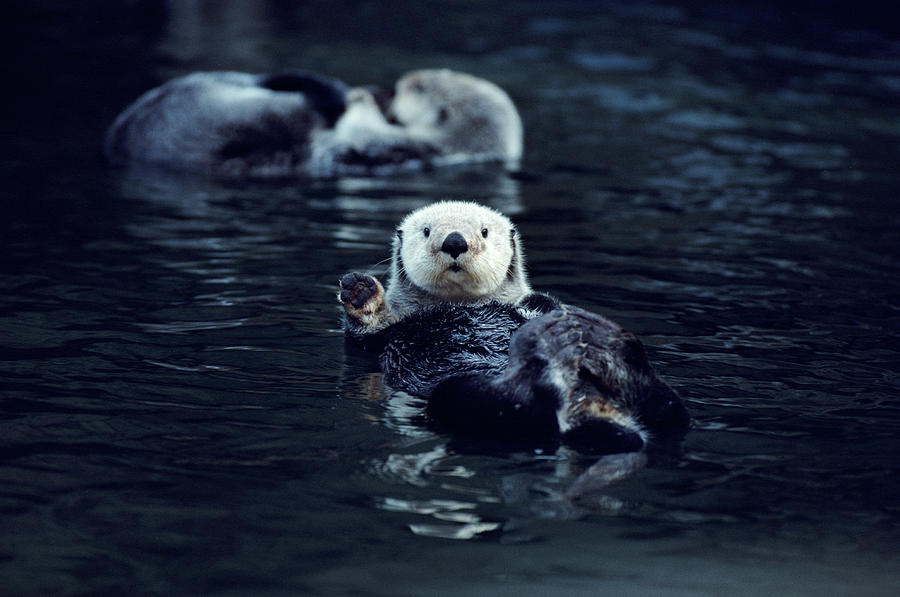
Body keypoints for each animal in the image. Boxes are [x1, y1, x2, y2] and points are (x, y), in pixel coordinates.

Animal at [104, 69, 522, 178]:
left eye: (419, 88)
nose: (398, 84)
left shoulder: (389, 145)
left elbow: (364, 130)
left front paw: (363, 97)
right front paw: (368, 92)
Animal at [338, 202, 689, 454]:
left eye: (484, 232)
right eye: (426, 231)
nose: (455, 241)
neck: (463, 304)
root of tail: (585, 410)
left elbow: (539, 302)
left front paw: (555, 311)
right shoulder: (383, 338)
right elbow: (363, 339)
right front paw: (361, 292)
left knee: (668, 408)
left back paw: (611, 346)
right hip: (462, 400)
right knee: (517, 405)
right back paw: (545, 356)